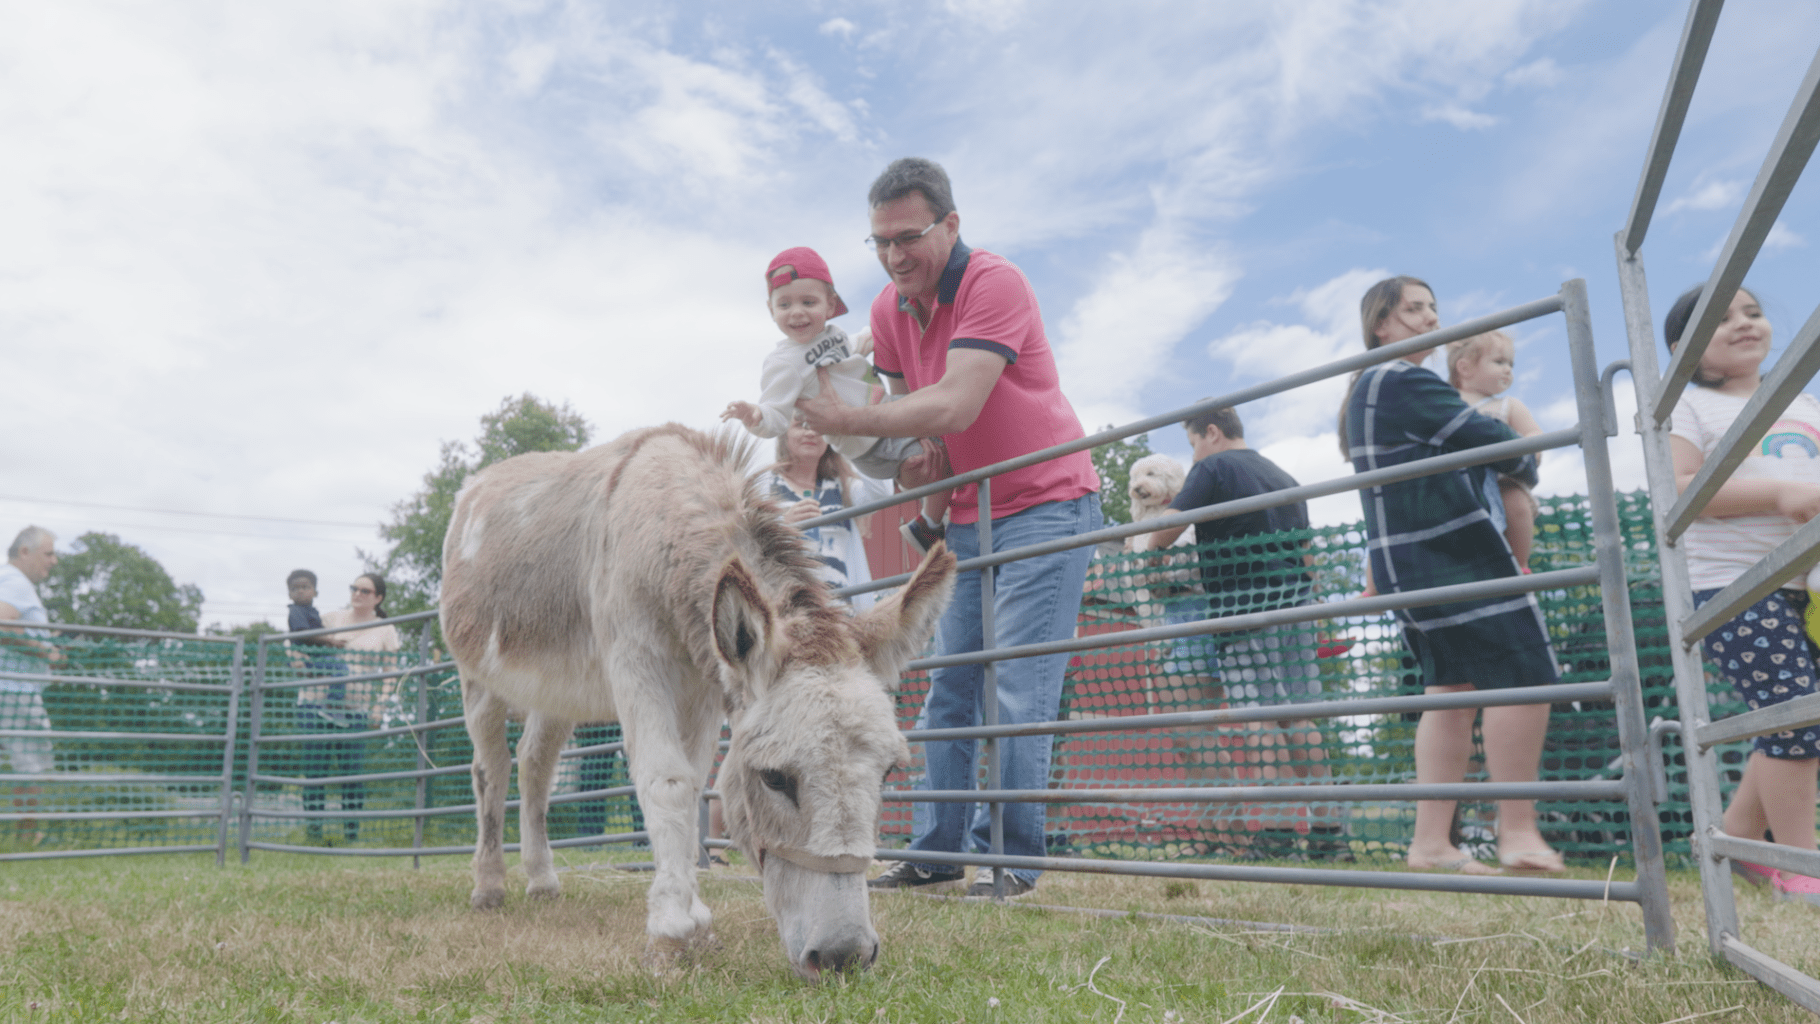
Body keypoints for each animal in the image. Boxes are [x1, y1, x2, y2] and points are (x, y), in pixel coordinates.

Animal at [439, 424, 954, 981]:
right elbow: (667, 782)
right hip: (479, 678)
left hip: (557, 692)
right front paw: (670, 930)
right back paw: (489, 885)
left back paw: (541, 881)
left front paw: (698, 921)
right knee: (491, 770)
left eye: (888, 773)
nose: (843, 956)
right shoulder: (636, 661)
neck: (666, 521)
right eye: (774, 778)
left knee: (535, 766)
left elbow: (692, 788)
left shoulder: (705, 686)